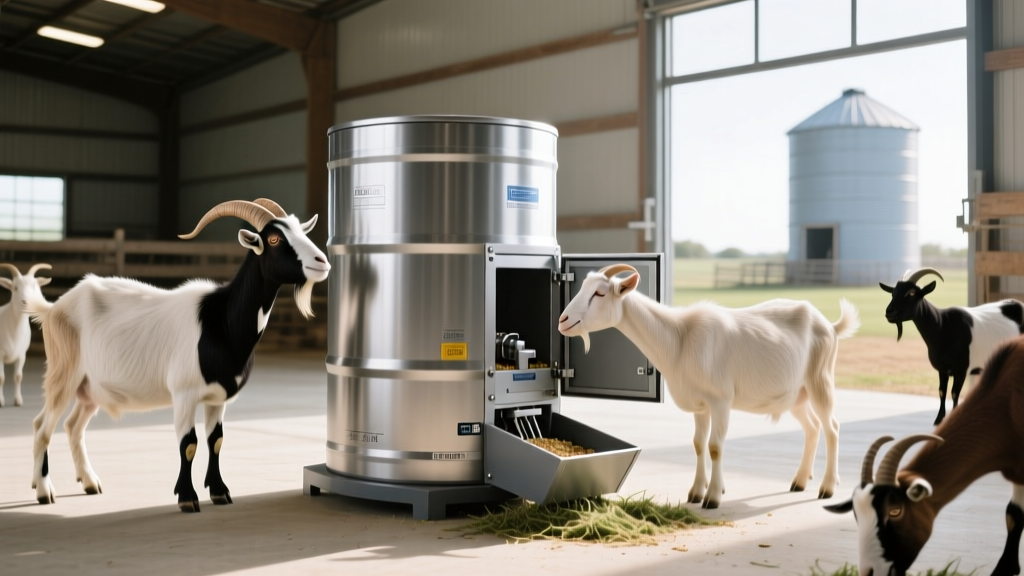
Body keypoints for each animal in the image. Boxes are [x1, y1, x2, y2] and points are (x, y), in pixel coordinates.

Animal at [0, 263, 51, 407]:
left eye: (34, 286)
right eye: (15, 287)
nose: (26, 301)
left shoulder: (21, 355)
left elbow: (18, 377)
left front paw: (18, 400)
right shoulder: (0, 355)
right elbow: (1, 378)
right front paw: (1, 401)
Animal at [23, 198, 330, 512]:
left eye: (300, 230)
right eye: (274, 239)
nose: (321, 262)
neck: (221, 321)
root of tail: (54, 308)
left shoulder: (217, 398)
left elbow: (216, 440)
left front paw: (220, 492)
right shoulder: (184, 393)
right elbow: (189, 443)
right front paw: (187, 498)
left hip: (90, 388)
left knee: (73, 426)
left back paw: (88, 483)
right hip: (64, 371)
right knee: (42, 426)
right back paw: (44, 491)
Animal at [557, 264, 859, 509]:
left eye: (599, 294)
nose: (563, 320)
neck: (679, 340)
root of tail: (830, 325)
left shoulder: (721, 400)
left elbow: (715, 446)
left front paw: (712, 498)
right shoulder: (700, 405)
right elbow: (698, 445)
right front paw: (695, 493)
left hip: (820, 380)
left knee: (832, 428)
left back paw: (827, 488)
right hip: (796, 395)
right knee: (812, 428)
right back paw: (799, 481)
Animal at [825, 336, 1024, 576]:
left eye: (895, 511)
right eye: (856, 514)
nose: (870, 571)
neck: (1008, 405)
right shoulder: (1017, 471)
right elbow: (1013, 514)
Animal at [880, 267, 1024, 425]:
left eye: (911, 293)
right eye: (893, 292)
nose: (889, 312)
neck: (943, 326)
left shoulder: (961, 369)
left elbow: (955, 393)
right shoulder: (942, 369)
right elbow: (942, 391)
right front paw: (938, 420)